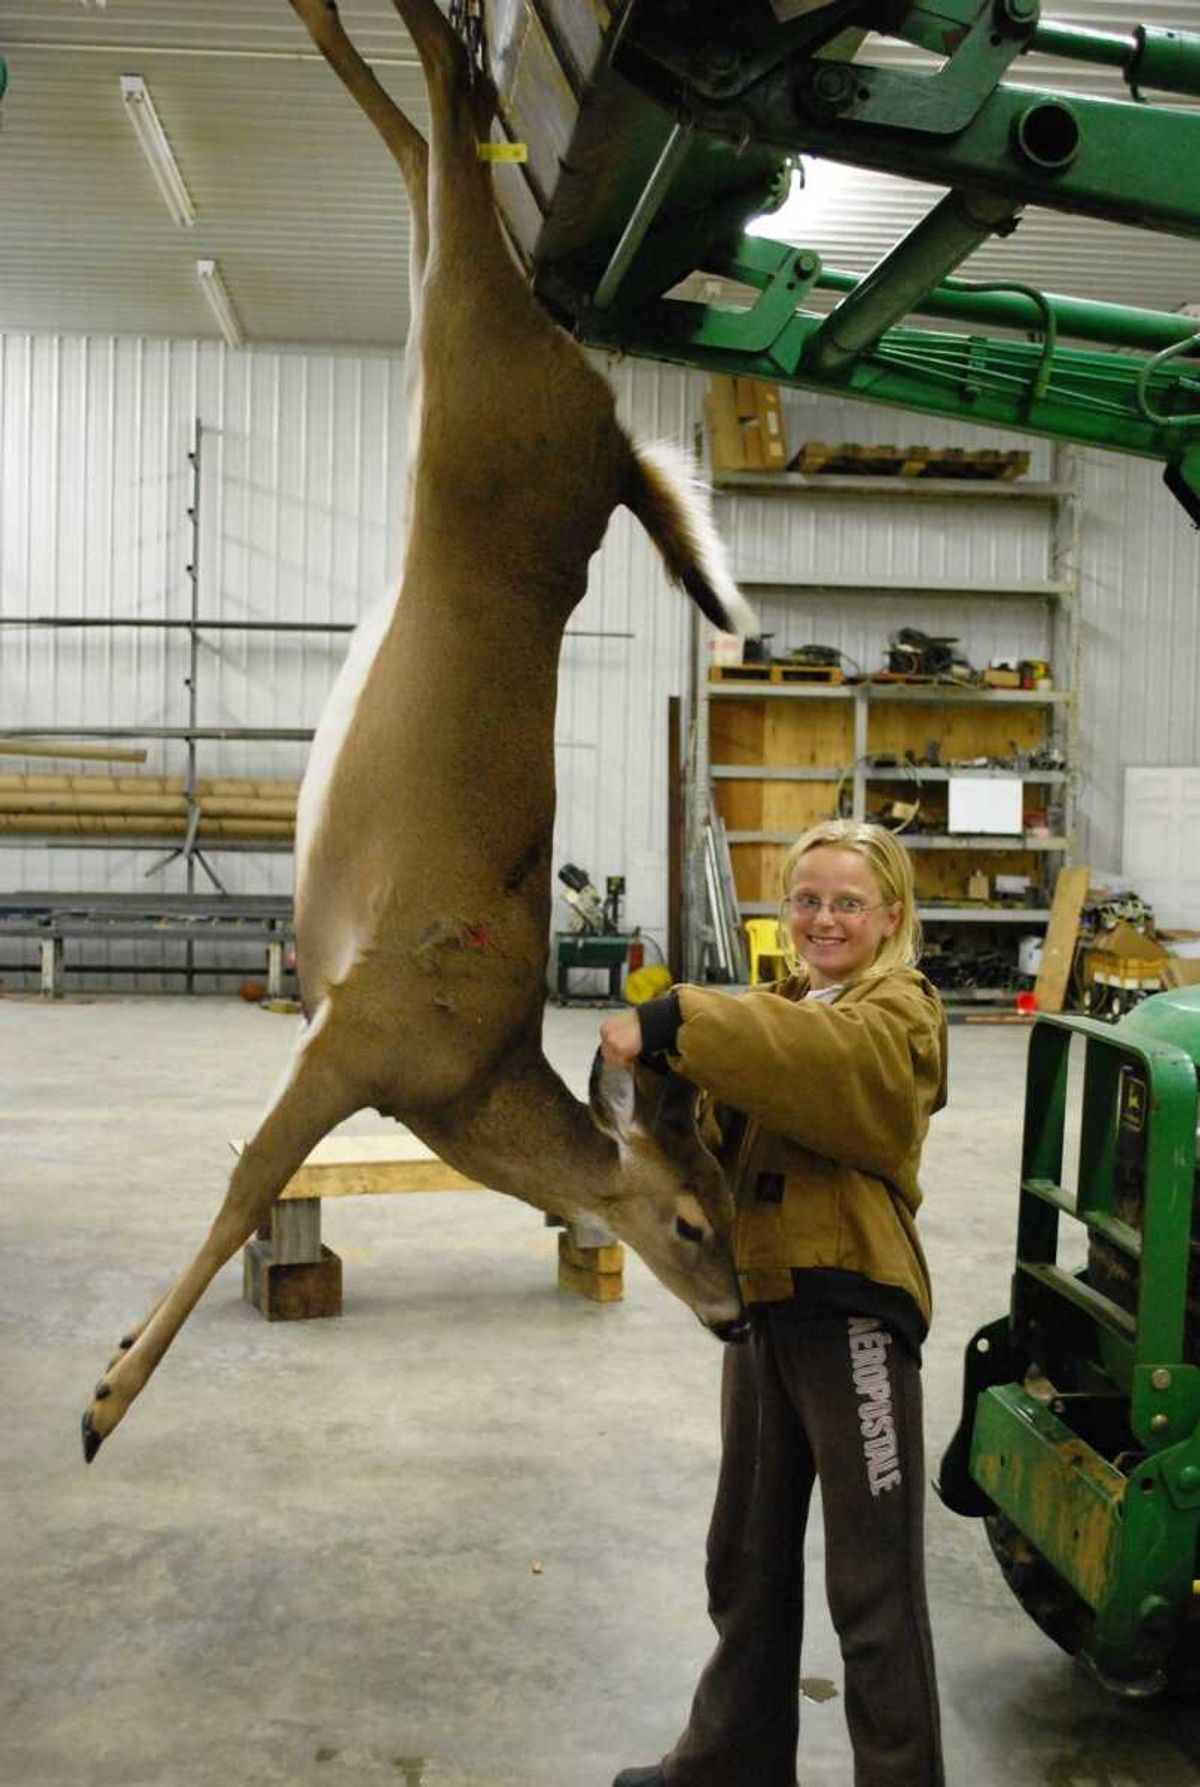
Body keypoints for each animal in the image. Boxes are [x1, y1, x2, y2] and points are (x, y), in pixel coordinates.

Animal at [81, 0, 755, 1463]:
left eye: (739, 1205)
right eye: (691, 1217)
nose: (738, 1317)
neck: (466, 1075)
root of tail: (619, 438)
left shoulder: (342, 1029)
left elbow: (247, 1185)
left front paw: (107, 1363)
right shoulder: (359, 1031)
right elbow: (244, 1189)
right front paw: (103, 1399)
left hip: (437, 343)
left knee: (427, 162)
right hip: (481, 376)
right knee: (447, 124)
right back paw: (405, 28)